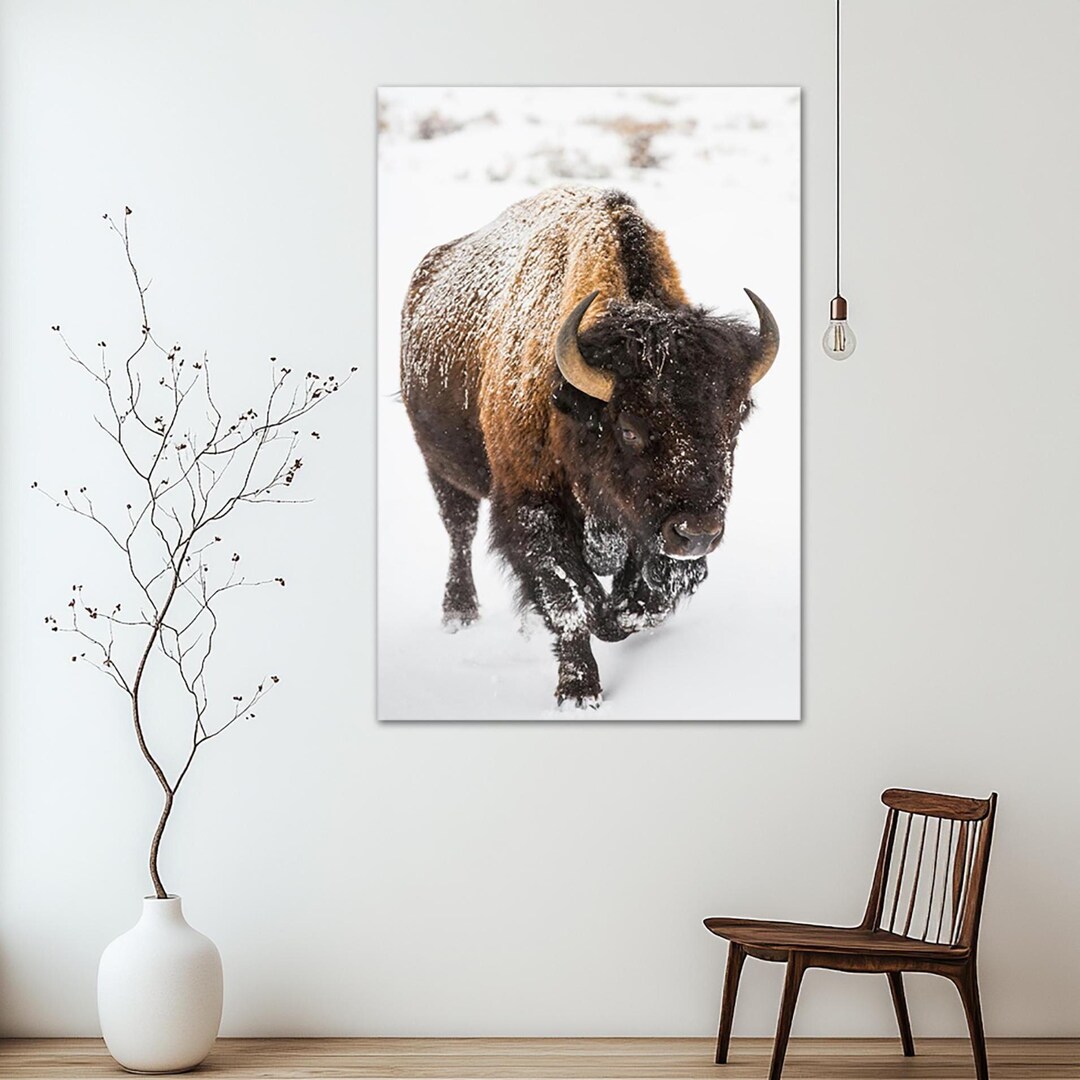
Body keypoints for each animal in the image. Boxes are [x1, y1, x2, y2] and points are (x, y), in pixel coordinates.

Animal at [400, 186, 779, 708]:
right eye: (629, 428)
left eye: (737, 418)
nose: (698, 533)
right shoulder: (533, 508)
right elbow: (570, 601)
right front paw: (579, 691)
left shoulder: (649, 532)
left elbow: (644, 601)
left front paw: (614, 619)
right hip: (442, 468)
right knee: (459, 531)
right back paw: (459, 613)